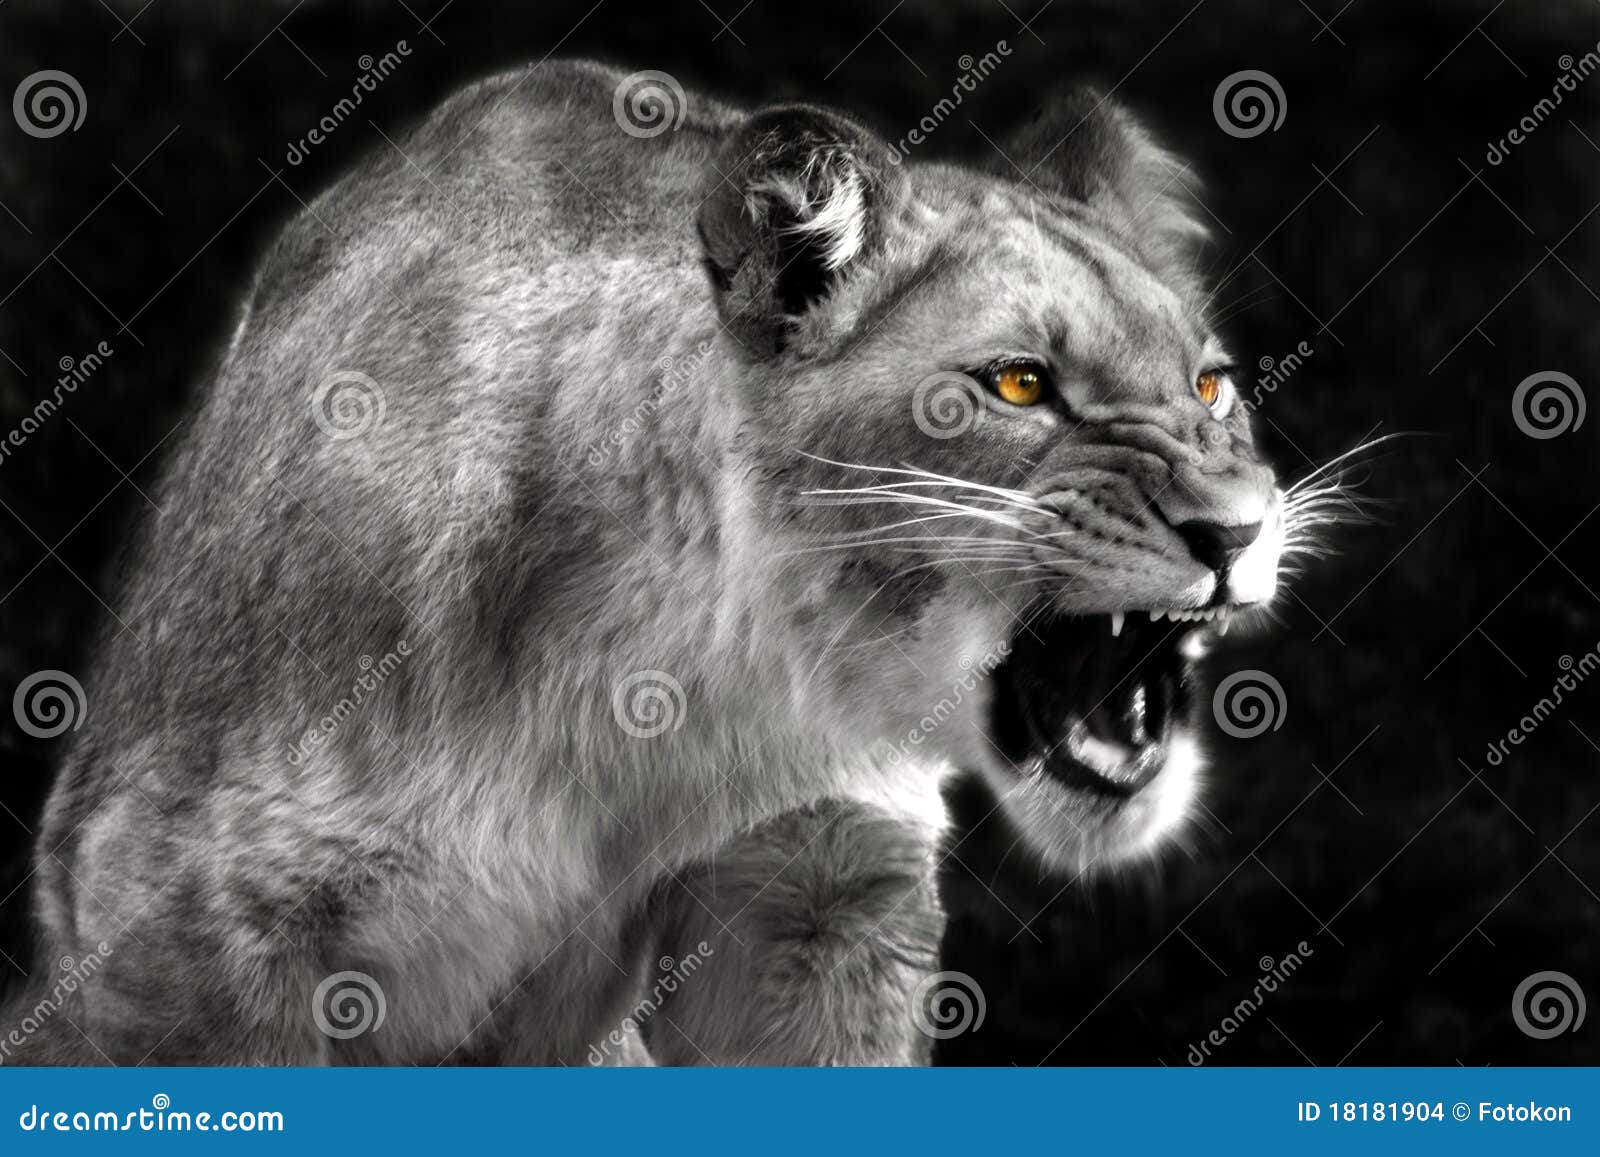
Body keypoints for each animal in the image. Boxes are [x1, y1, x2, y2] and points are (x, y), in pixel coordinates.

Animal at [5, 60, 1293, 1065]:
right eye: (1019, 383)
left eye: (1210, 386)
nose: (1235, 529)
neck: (684, 686)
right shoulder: (178, 920)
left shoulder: (819, 875)